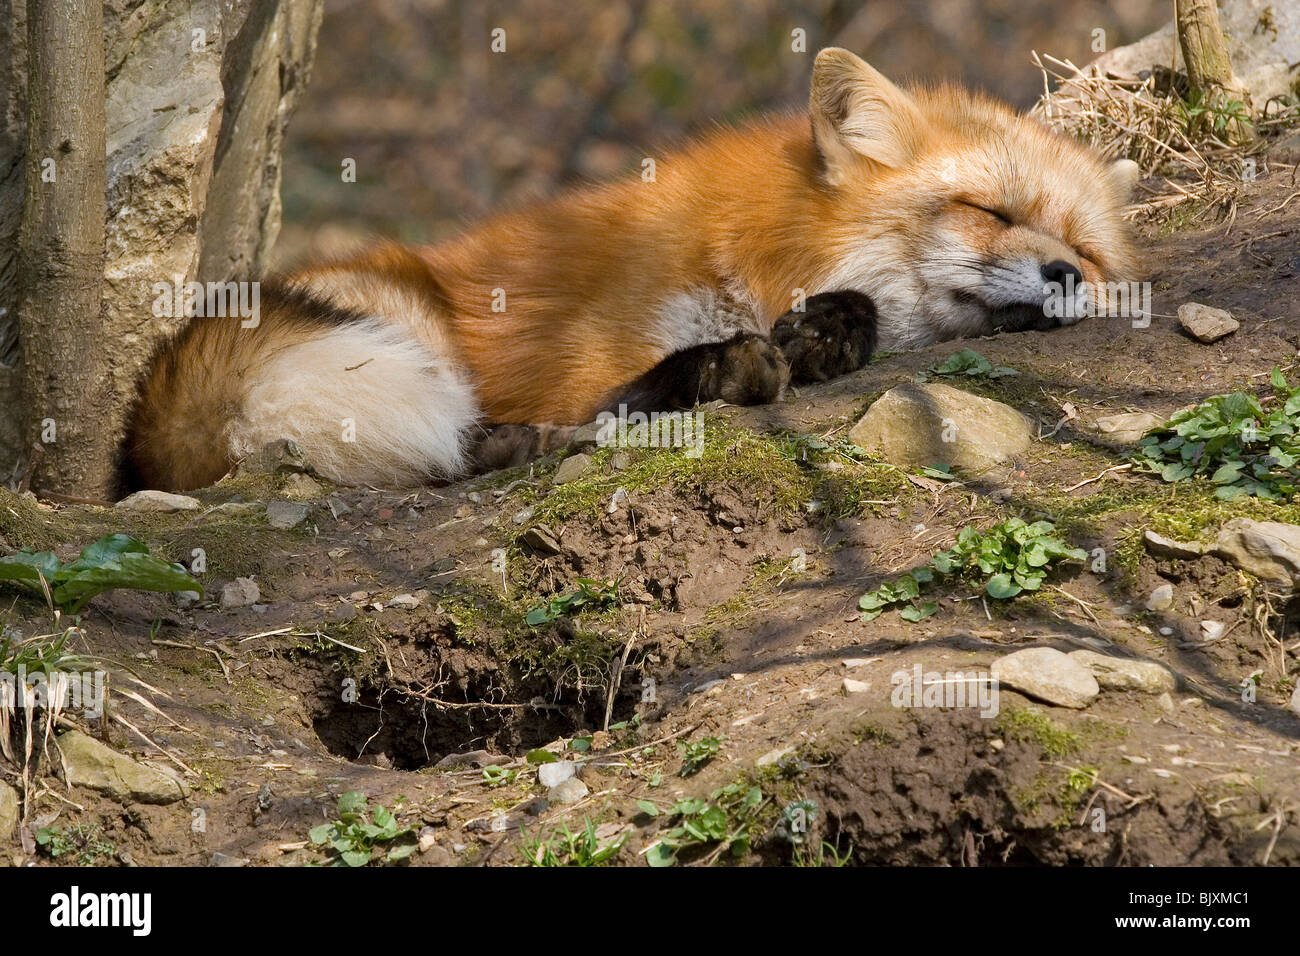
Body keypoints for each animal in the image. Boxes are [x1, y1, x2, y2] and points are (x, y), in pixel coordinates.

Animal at [125, 48, 1140, 493]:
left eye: (1087, 249)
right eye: (990, 212)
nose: (1065, 276)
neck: (755, 264)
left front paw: (825, 335)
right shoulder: (589, 356)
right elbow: (625, 388)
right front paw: (744, 358)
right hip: (399, 329)